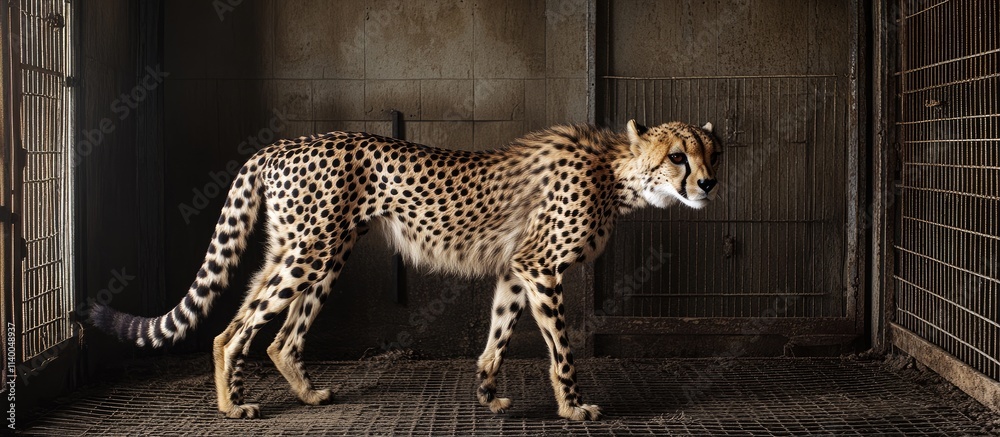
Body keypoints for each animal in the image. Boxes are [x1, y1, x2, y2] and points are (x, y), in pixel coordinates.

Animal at [90, 119, 721, 421]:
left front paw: (487, 392)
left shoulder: (516, 269)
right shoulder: (539, 266)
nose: (709, 184)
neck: (618, 174)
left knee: (272, 334)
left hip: (310, 251)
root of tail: (278, 146)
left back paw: (303, 393)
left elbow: (497, 333)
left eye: (713, 154)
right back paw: (229, 405)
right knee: (234, 331)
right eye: (677, 157)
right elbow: (561, 351)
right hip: (312, 250)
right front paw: (572, 407)